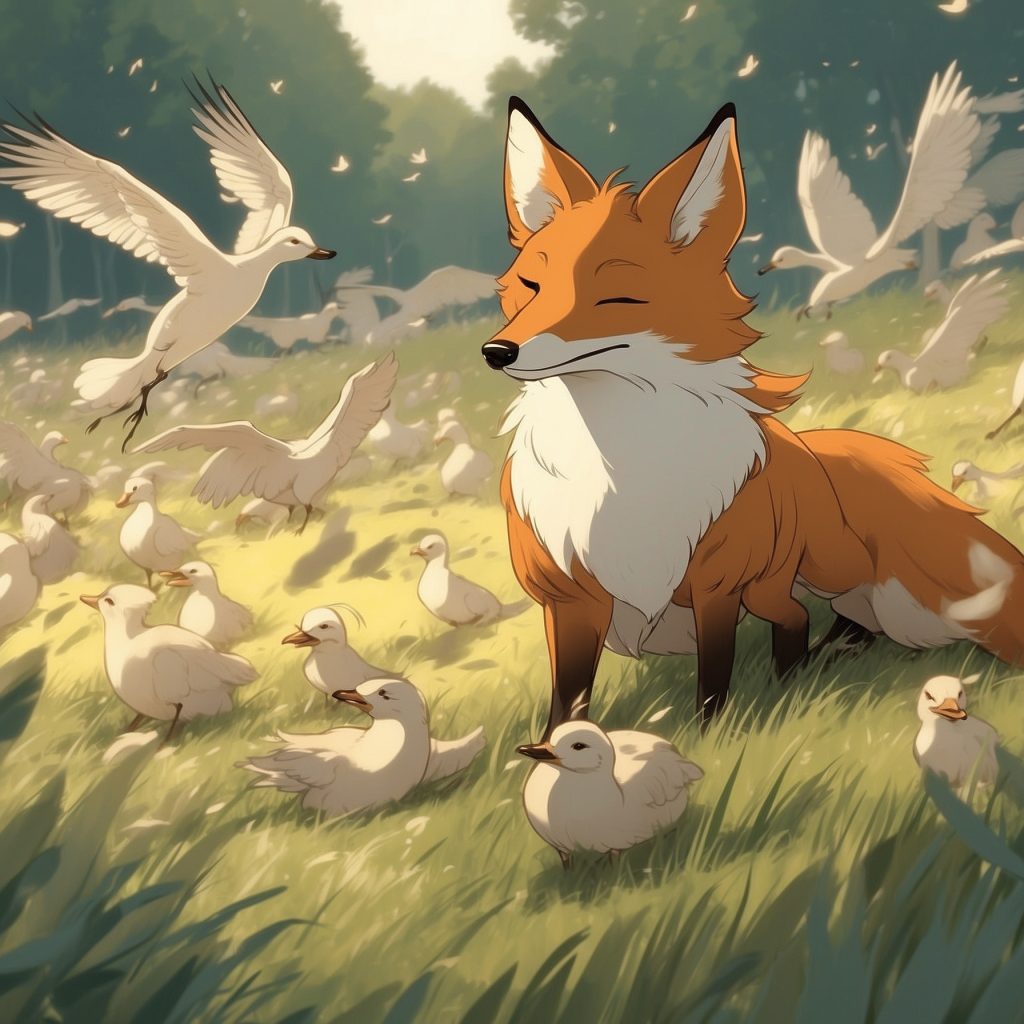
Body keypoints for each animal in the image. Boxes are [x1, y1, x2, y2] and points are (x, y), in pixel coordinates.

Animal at [483, 96, 1024, 753]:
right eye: (531, 286)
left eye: (616, 299)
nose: (496, 352)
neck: (622, 474)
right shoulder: (569, 598)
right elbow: (569, 700)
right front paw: (550, 757)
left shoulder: (716, 587)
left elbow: (713, 680)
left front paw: (711, 740)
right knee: (812, 621)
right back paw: (812, 670)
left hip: (816, 586)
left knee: (800, 619)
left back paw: (798, 681)